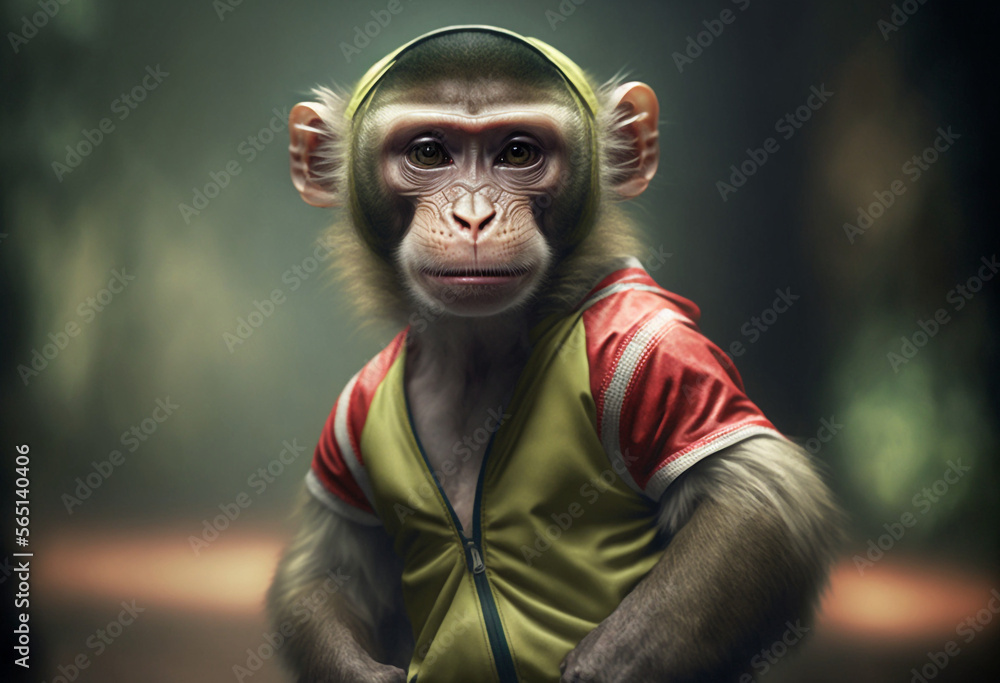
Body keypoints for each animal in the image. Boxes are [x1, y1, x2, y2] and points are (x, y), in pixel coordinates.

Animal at [267, 25, 844, 683]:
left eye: (518, 153)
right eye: (429, 153)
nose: (473, 215)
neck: (482, 347)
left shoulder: (652, 347)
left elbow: (760, 505)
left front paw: (603, 667)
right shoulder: (350, 411)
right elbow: (332, 570)